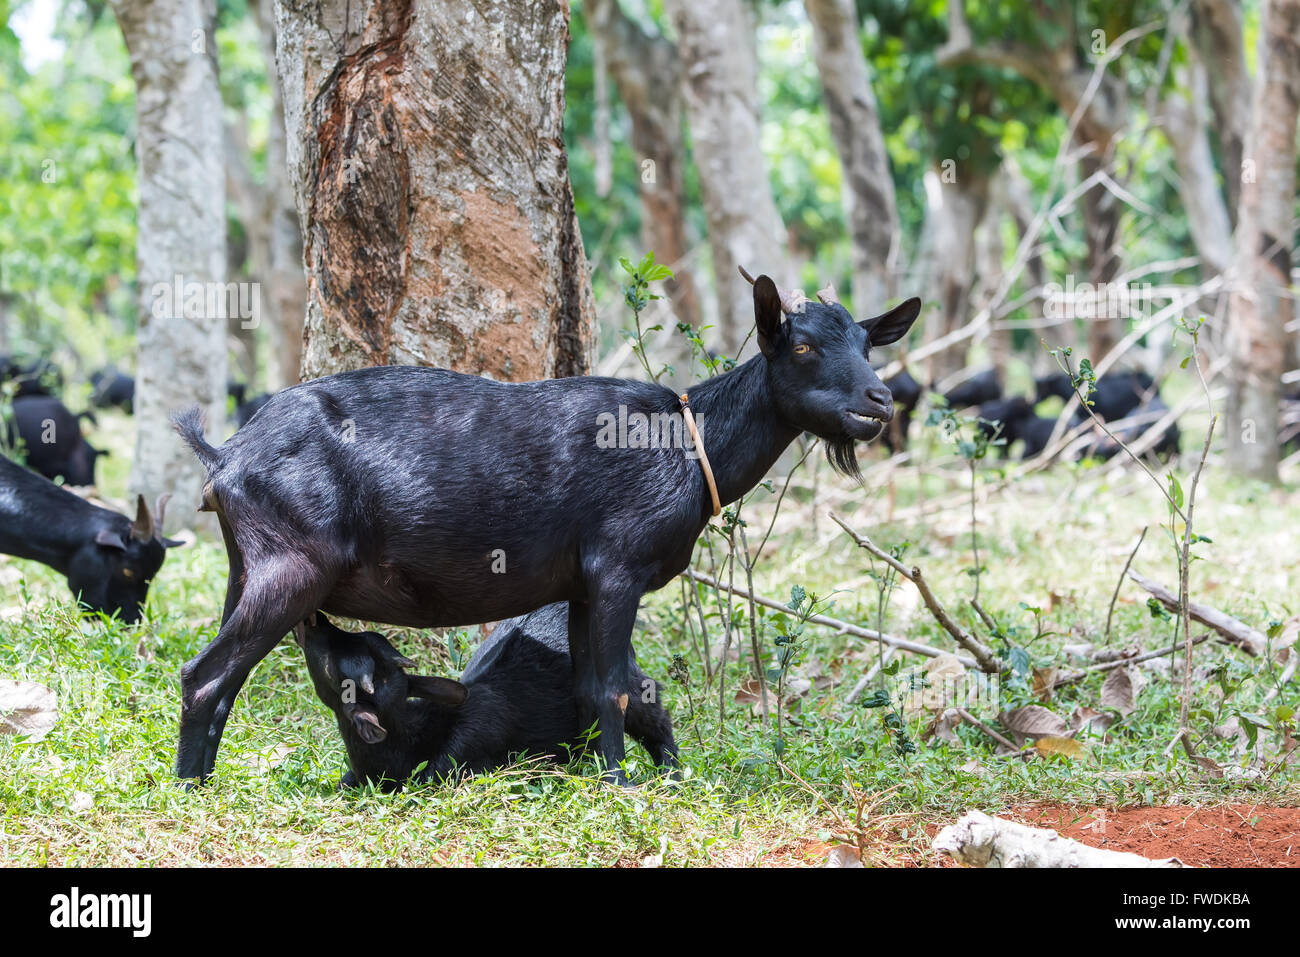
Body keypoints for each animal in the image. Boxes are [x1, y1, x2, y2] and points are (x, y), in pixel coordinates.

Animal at [297, 605, 677, 791]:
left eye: (332, 664)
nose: (314, 619)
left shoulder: (462, 756)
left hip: (628, 681)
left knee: (655, 718)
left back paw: (671, 774)